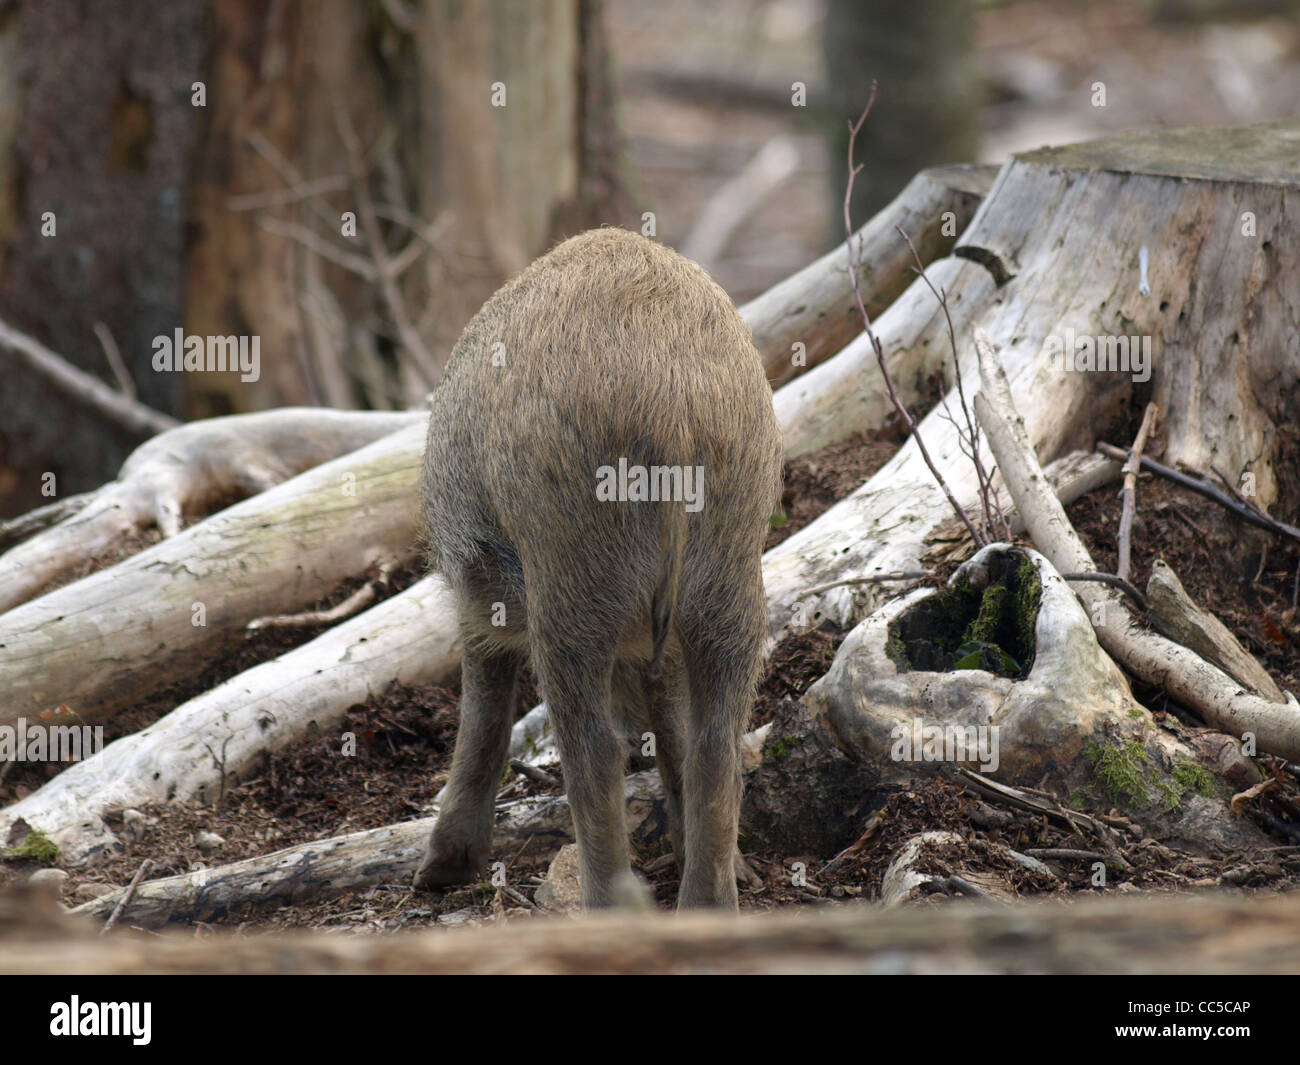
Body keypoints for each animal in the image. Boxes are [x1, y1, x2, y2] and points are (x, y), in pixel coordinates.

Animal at [413, 227, 782, 909]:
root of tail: (672, 405)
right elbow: (673, 721)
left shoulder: (481, 595)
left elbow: (484, 711)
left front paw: (439, 873)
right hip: (734, 575)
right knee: (715, 745)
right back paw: (710, 904)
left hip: (569, 586)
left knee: (595, 755)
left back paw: (602, 906)